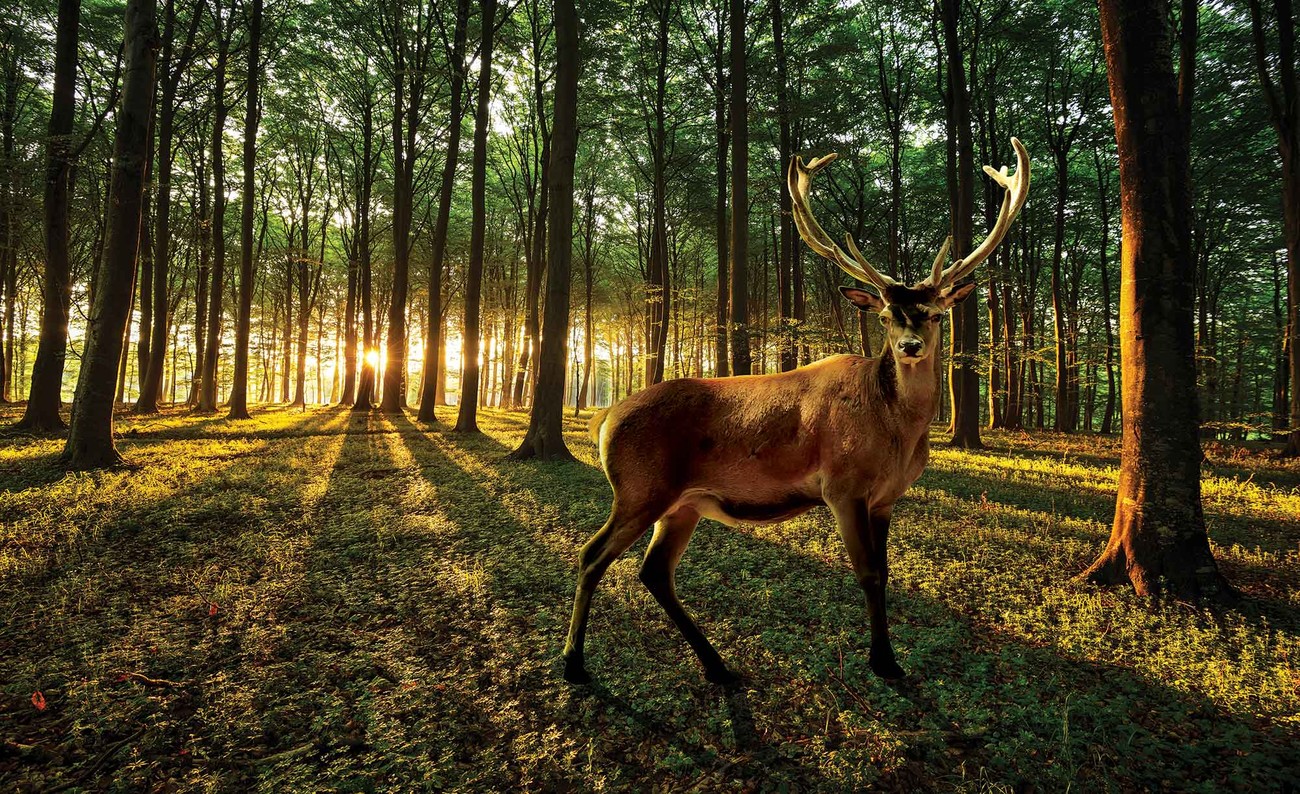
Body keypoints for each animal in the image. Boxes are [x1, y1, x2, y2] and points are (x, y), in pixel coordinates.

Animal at [562, 137, 1030, 687]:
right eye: (886, 316)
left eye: (936, 314)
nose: (911, 346)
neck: (897, 432)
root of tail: (603, 419)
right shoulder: (842, 486)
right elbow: (869, 574)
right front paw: (884, 661)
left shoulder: (886, 498)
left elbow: (886, 571)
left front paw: (887, 655)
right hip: (640, 488)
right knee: (592, 555)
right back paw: (573, 663)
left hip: (682, 502)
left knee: (654, 570)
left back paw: (718, 666)